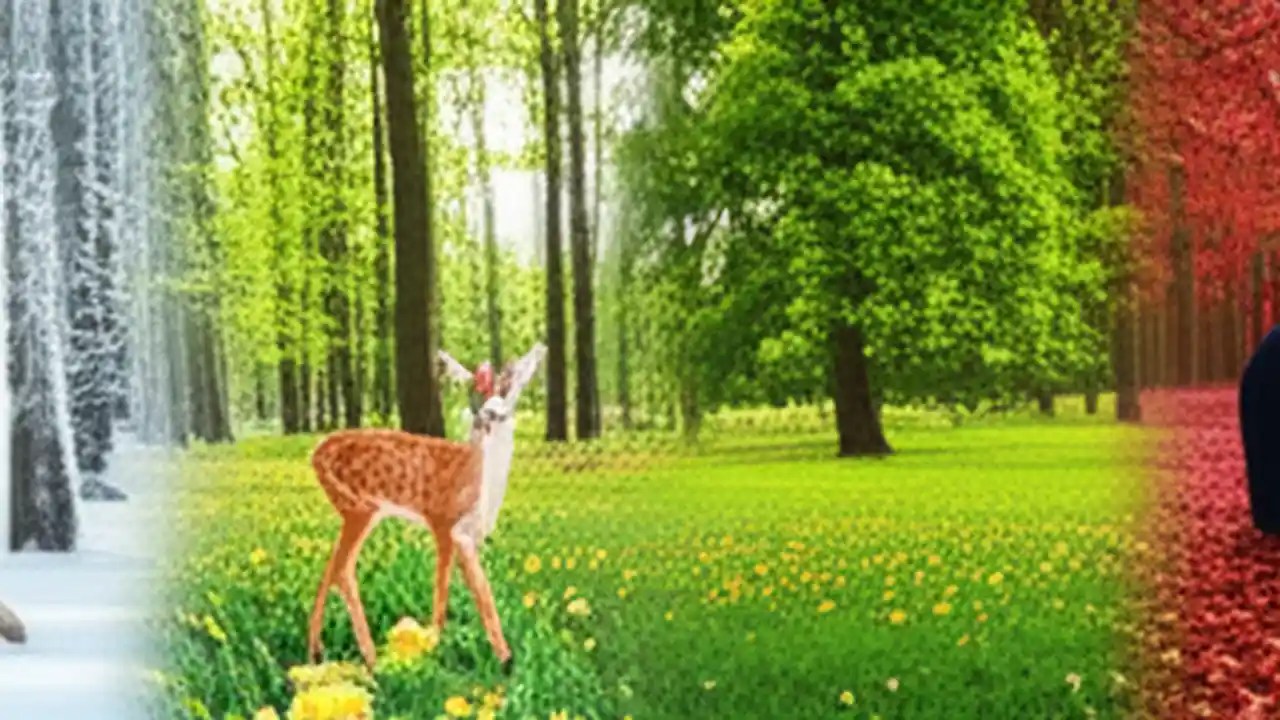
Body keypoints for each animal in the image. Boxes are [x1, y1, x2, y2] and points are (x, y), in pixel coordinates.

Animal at [306, 342, 546, 674]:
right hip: (360, 508)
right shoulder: (444, 521)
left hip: (351, 511)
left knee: (329, 569)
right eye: (473, 393)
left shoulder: (461, 533)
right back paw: (371, 659)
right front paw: (444, 650)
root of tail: (314, 455)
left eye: (508, 387)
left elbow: (468, 587)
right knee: (343, 570)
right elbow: (455, 589)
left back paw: (316, 653)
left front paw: (499, 659)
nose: (489, 413)